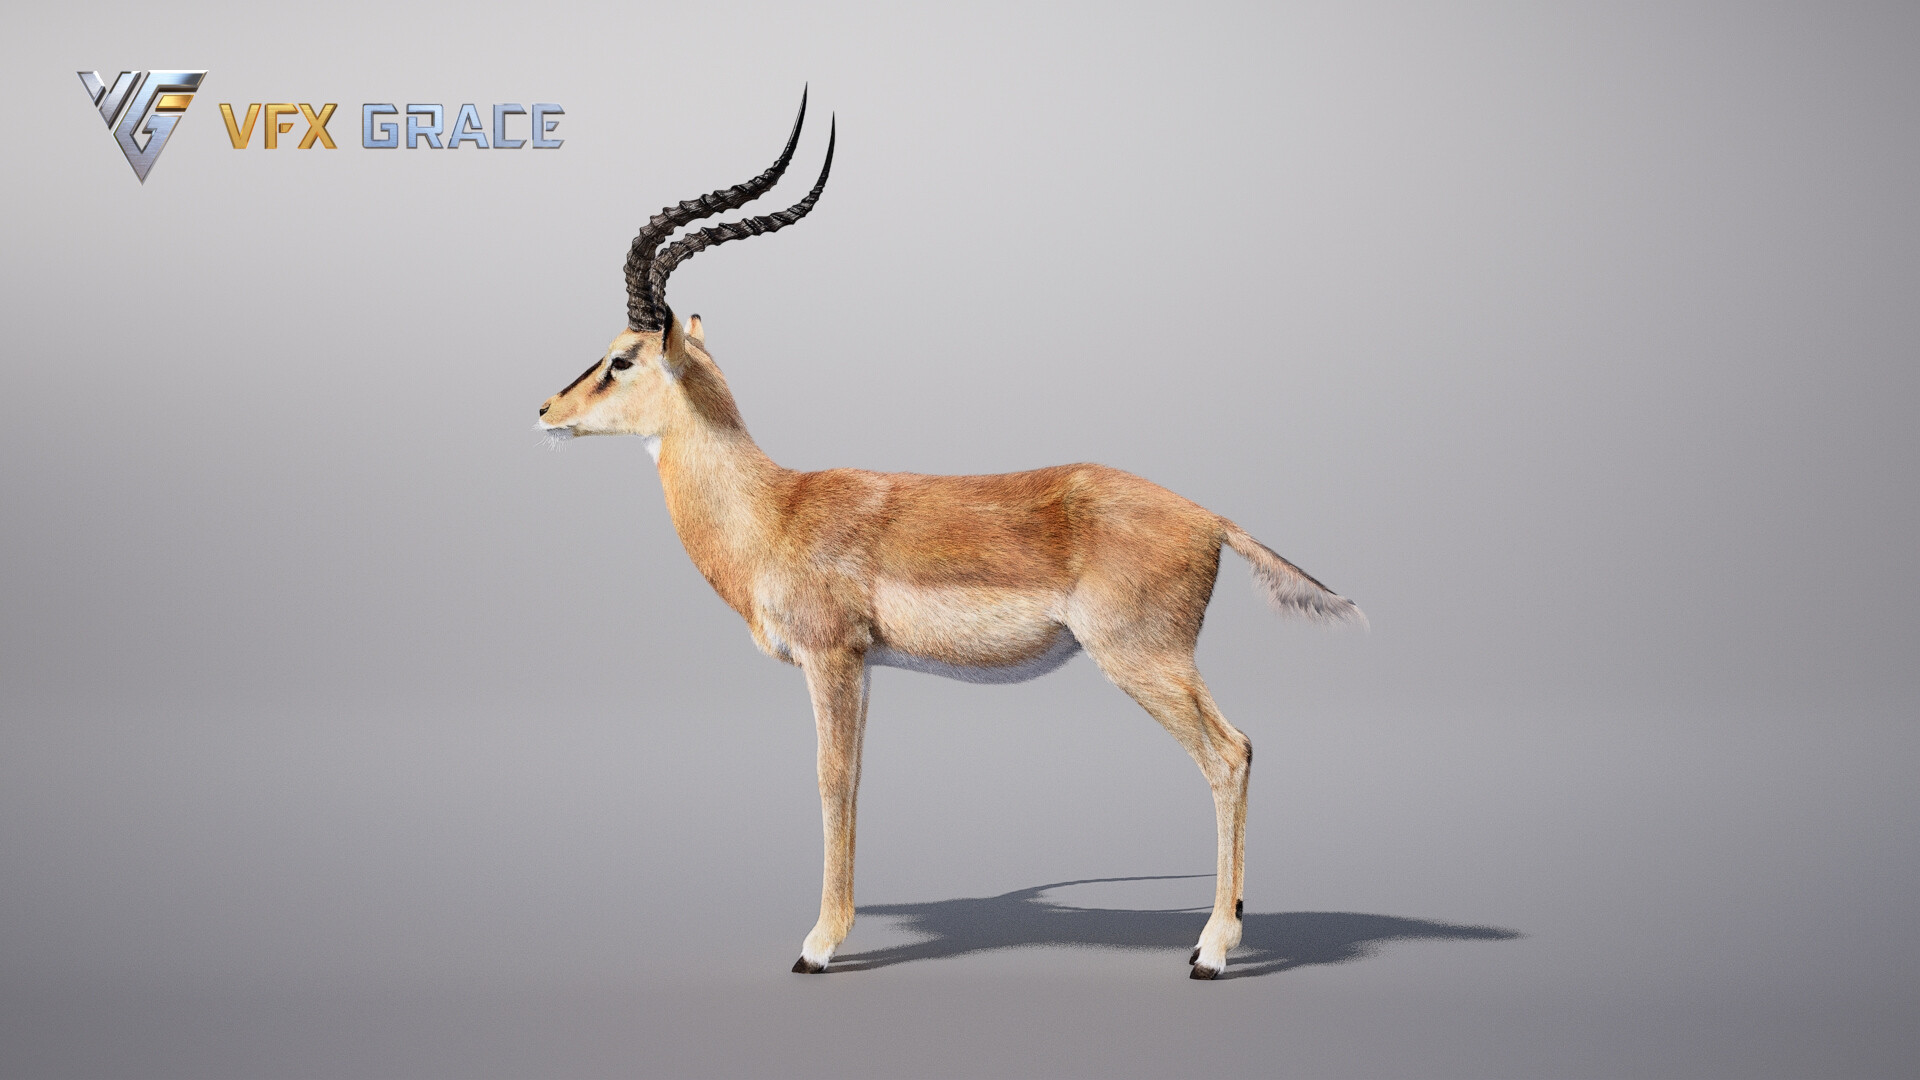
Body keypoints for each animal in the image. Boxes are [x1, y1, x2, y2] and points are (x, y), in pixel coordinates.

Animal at [536, 92, 1364, 980]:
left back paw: (1211, 949)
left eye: (621, 359)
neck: (773, 511)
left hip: (1144, 659)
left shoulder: (831, 656)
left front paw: (818, 945)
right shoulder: (865, 666)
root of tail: (1212, 519)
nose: (545, 410)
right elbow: (857, 777)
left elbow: (831, 780)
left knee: (1230, 752)